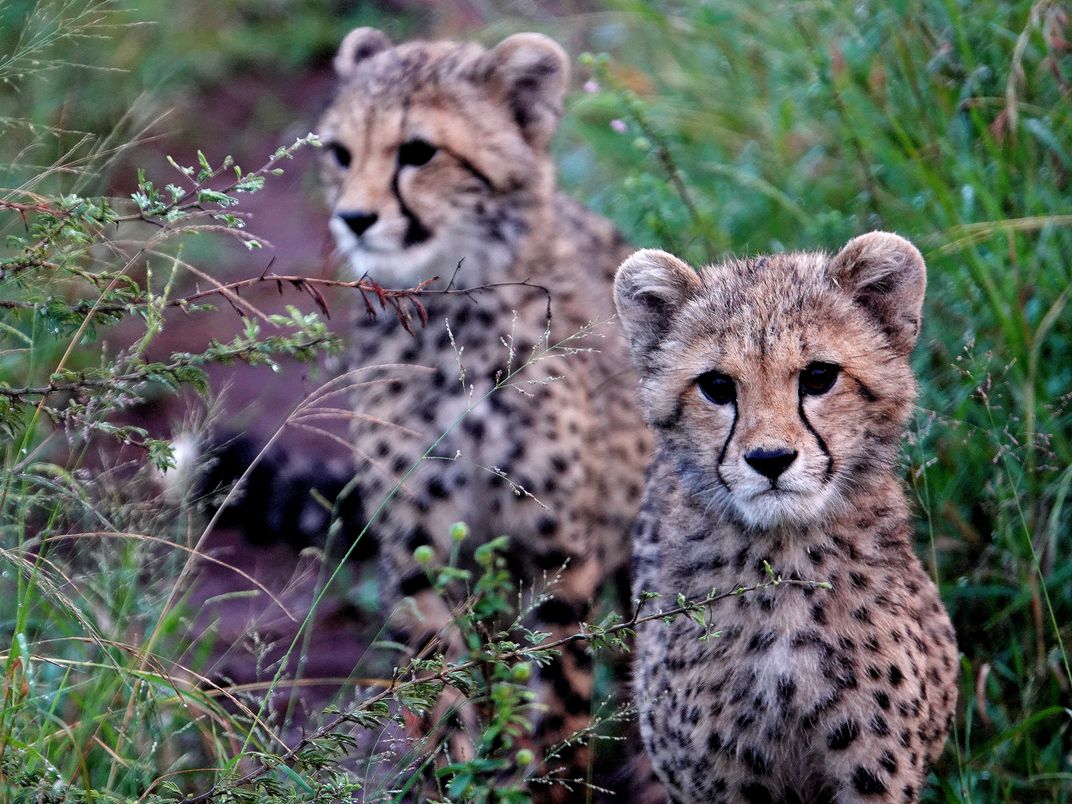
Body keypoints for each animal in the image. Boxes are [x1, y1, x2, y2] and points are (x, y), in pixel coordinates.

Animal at [612, 232, 958, 803]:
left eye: (818, 376)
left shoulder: (876, 773)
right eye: (716, 385)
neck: (786, 565)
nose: (770, 459)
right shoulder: (711, 780)